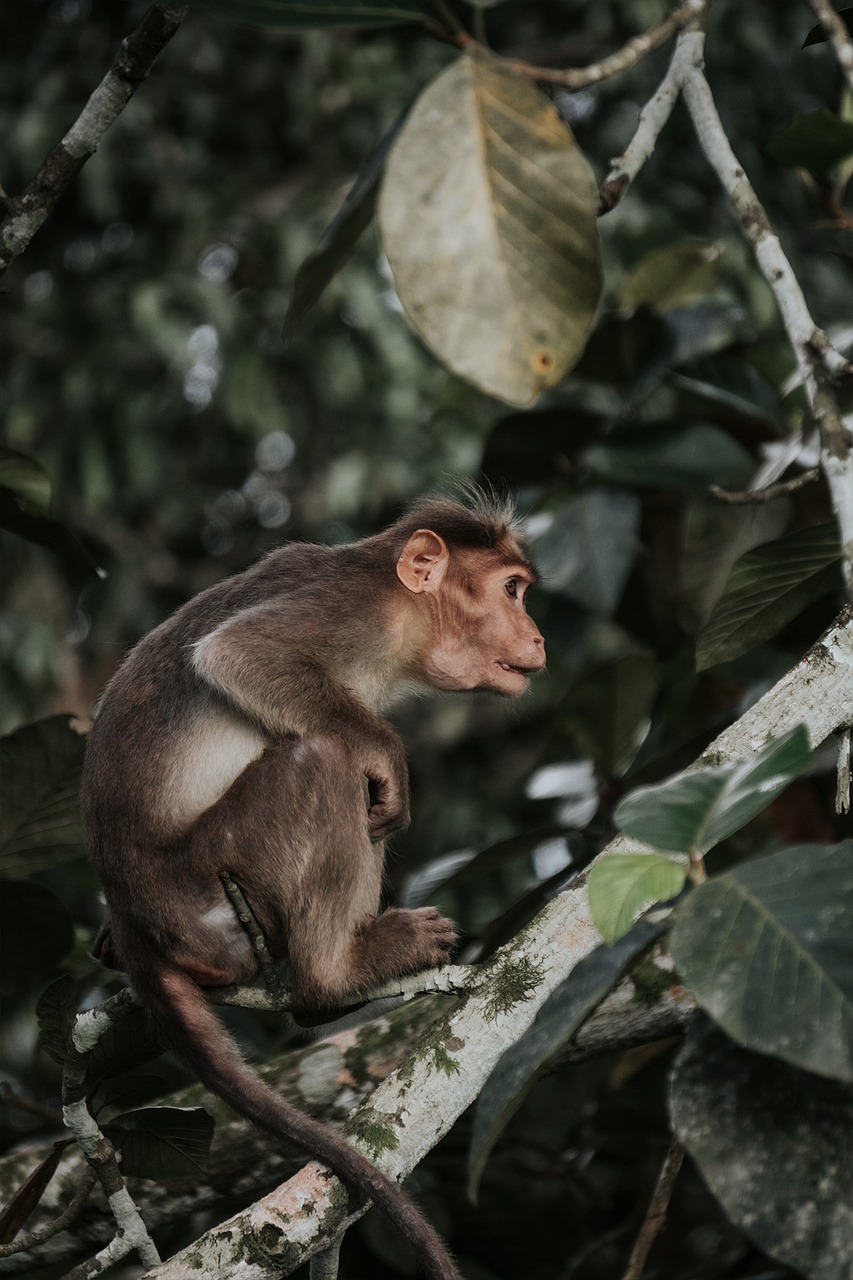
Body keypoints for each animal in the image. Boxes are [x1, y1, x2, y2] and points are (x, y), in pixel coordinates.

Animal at [81, 492, 546, 1280]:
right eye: (511, 590)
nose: (539, 637)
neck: (398, 601)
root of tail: (139, 918)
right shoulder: (349, 613)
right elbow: (241, 654)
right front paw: (390, 755)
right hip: (211, 884)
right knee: (325, 759)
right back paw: (333, 976)